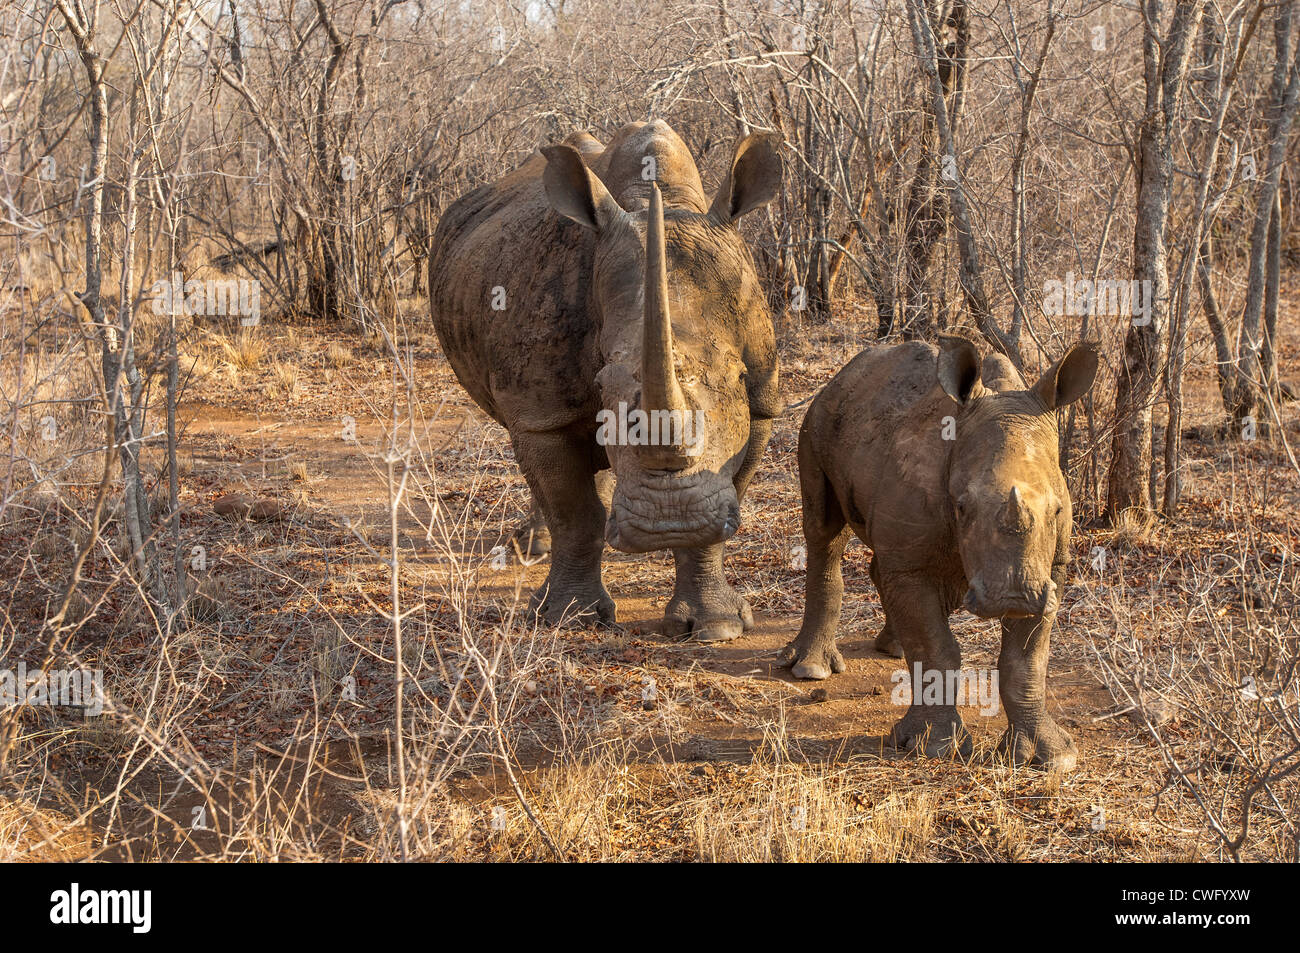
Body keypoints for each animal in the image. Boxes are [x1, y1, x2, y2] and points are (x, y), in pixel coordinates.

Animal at [427, 121, 782, 641]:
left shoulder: (761, 402)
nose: (668, 524)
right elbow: (574, 512)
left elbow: (727, 496)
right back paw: (529, 550)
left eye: (737, 376)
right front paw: (566, 617)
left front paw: (715, 626)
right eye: (601, 382)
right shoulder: (543, 412)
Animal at [779, 334, 1098, 770]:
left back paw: (893, 647)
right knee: (824, 533)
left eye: (1057, 511)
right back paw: (811, 670)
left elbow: (1027, 659)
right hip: (819, 419)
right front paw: (932, 747)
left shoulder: (1053, 567)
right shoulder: (919, 559)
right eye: (961, 507)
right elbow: (936, 647)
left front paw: (1050, 758)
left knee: (885, 566)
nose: (1012, 597)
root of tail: (844, 372)